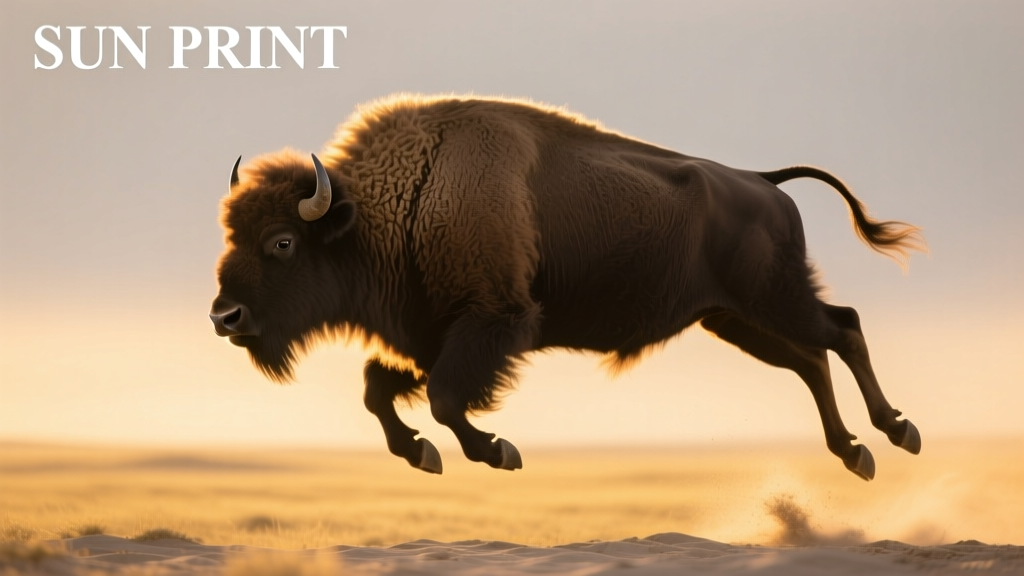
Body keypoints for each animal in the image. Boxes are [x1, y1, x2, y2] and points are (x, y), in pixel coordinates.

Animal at [210, 95, 924, 480]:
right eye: (230, 232)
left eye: (282, 242)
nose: (224, 316)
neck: (400, 204)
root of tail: (763, 182)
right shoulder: (426, 338)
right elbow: (377, 391)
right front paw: (422, 454)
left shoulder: (492, 323)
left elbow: (444, 399)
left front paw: (496, 451)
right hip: (734, 320)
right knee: (810, 359)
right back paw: (855, 453)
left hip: (772, 301)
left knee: (842, 330)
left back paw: (898, 431)